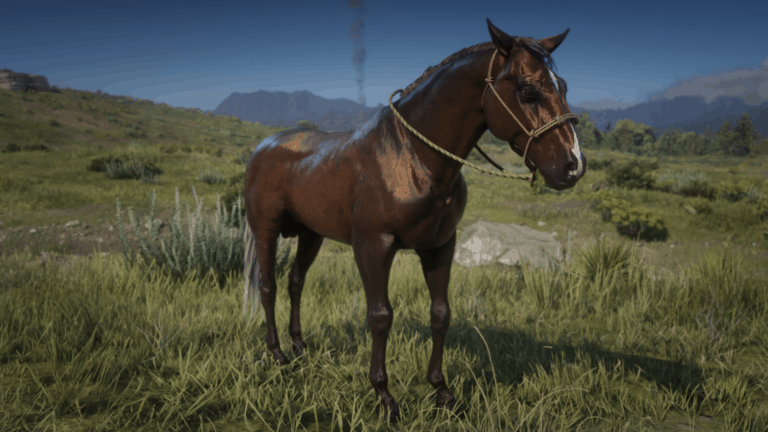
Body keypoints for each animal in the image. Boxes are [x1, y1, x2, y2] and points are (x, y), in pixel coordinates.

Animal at [242, 19, 586, 422]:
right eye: (527, 90)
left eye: (563, 87)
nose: (572, 166)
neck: (413, 158)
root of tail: (262, 147)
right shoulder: (373, 246)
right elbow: (380, 316)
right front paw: (384, 396)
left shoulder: (440, 246)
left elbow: (440, 314)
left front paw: (442, 391)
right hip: (265, 231)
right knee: (269, 287)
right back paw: (277, 353)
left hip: (311, 235)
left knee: (296, 282)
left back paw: (299, 347)